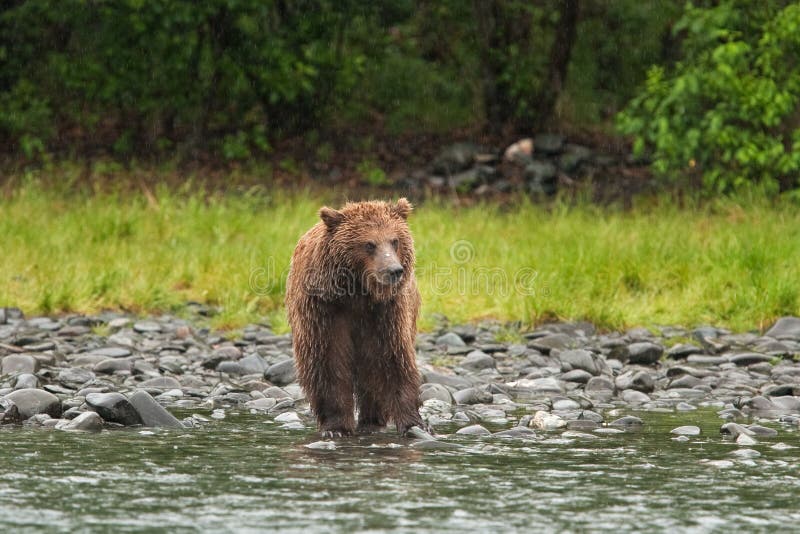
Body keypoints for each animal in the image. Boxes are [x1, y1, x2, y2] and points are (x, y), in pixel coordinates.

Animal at [285, 198, 424, 437]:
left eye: (395, 240)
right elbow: (328, 362)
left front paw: (414, 423)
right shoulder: (324, 311)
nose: (393, 270)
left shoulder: (387, 314)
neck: (358, 293)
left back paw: (372, 420)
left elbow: (393, 359)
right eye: (369, 244)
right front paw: (336, 427)